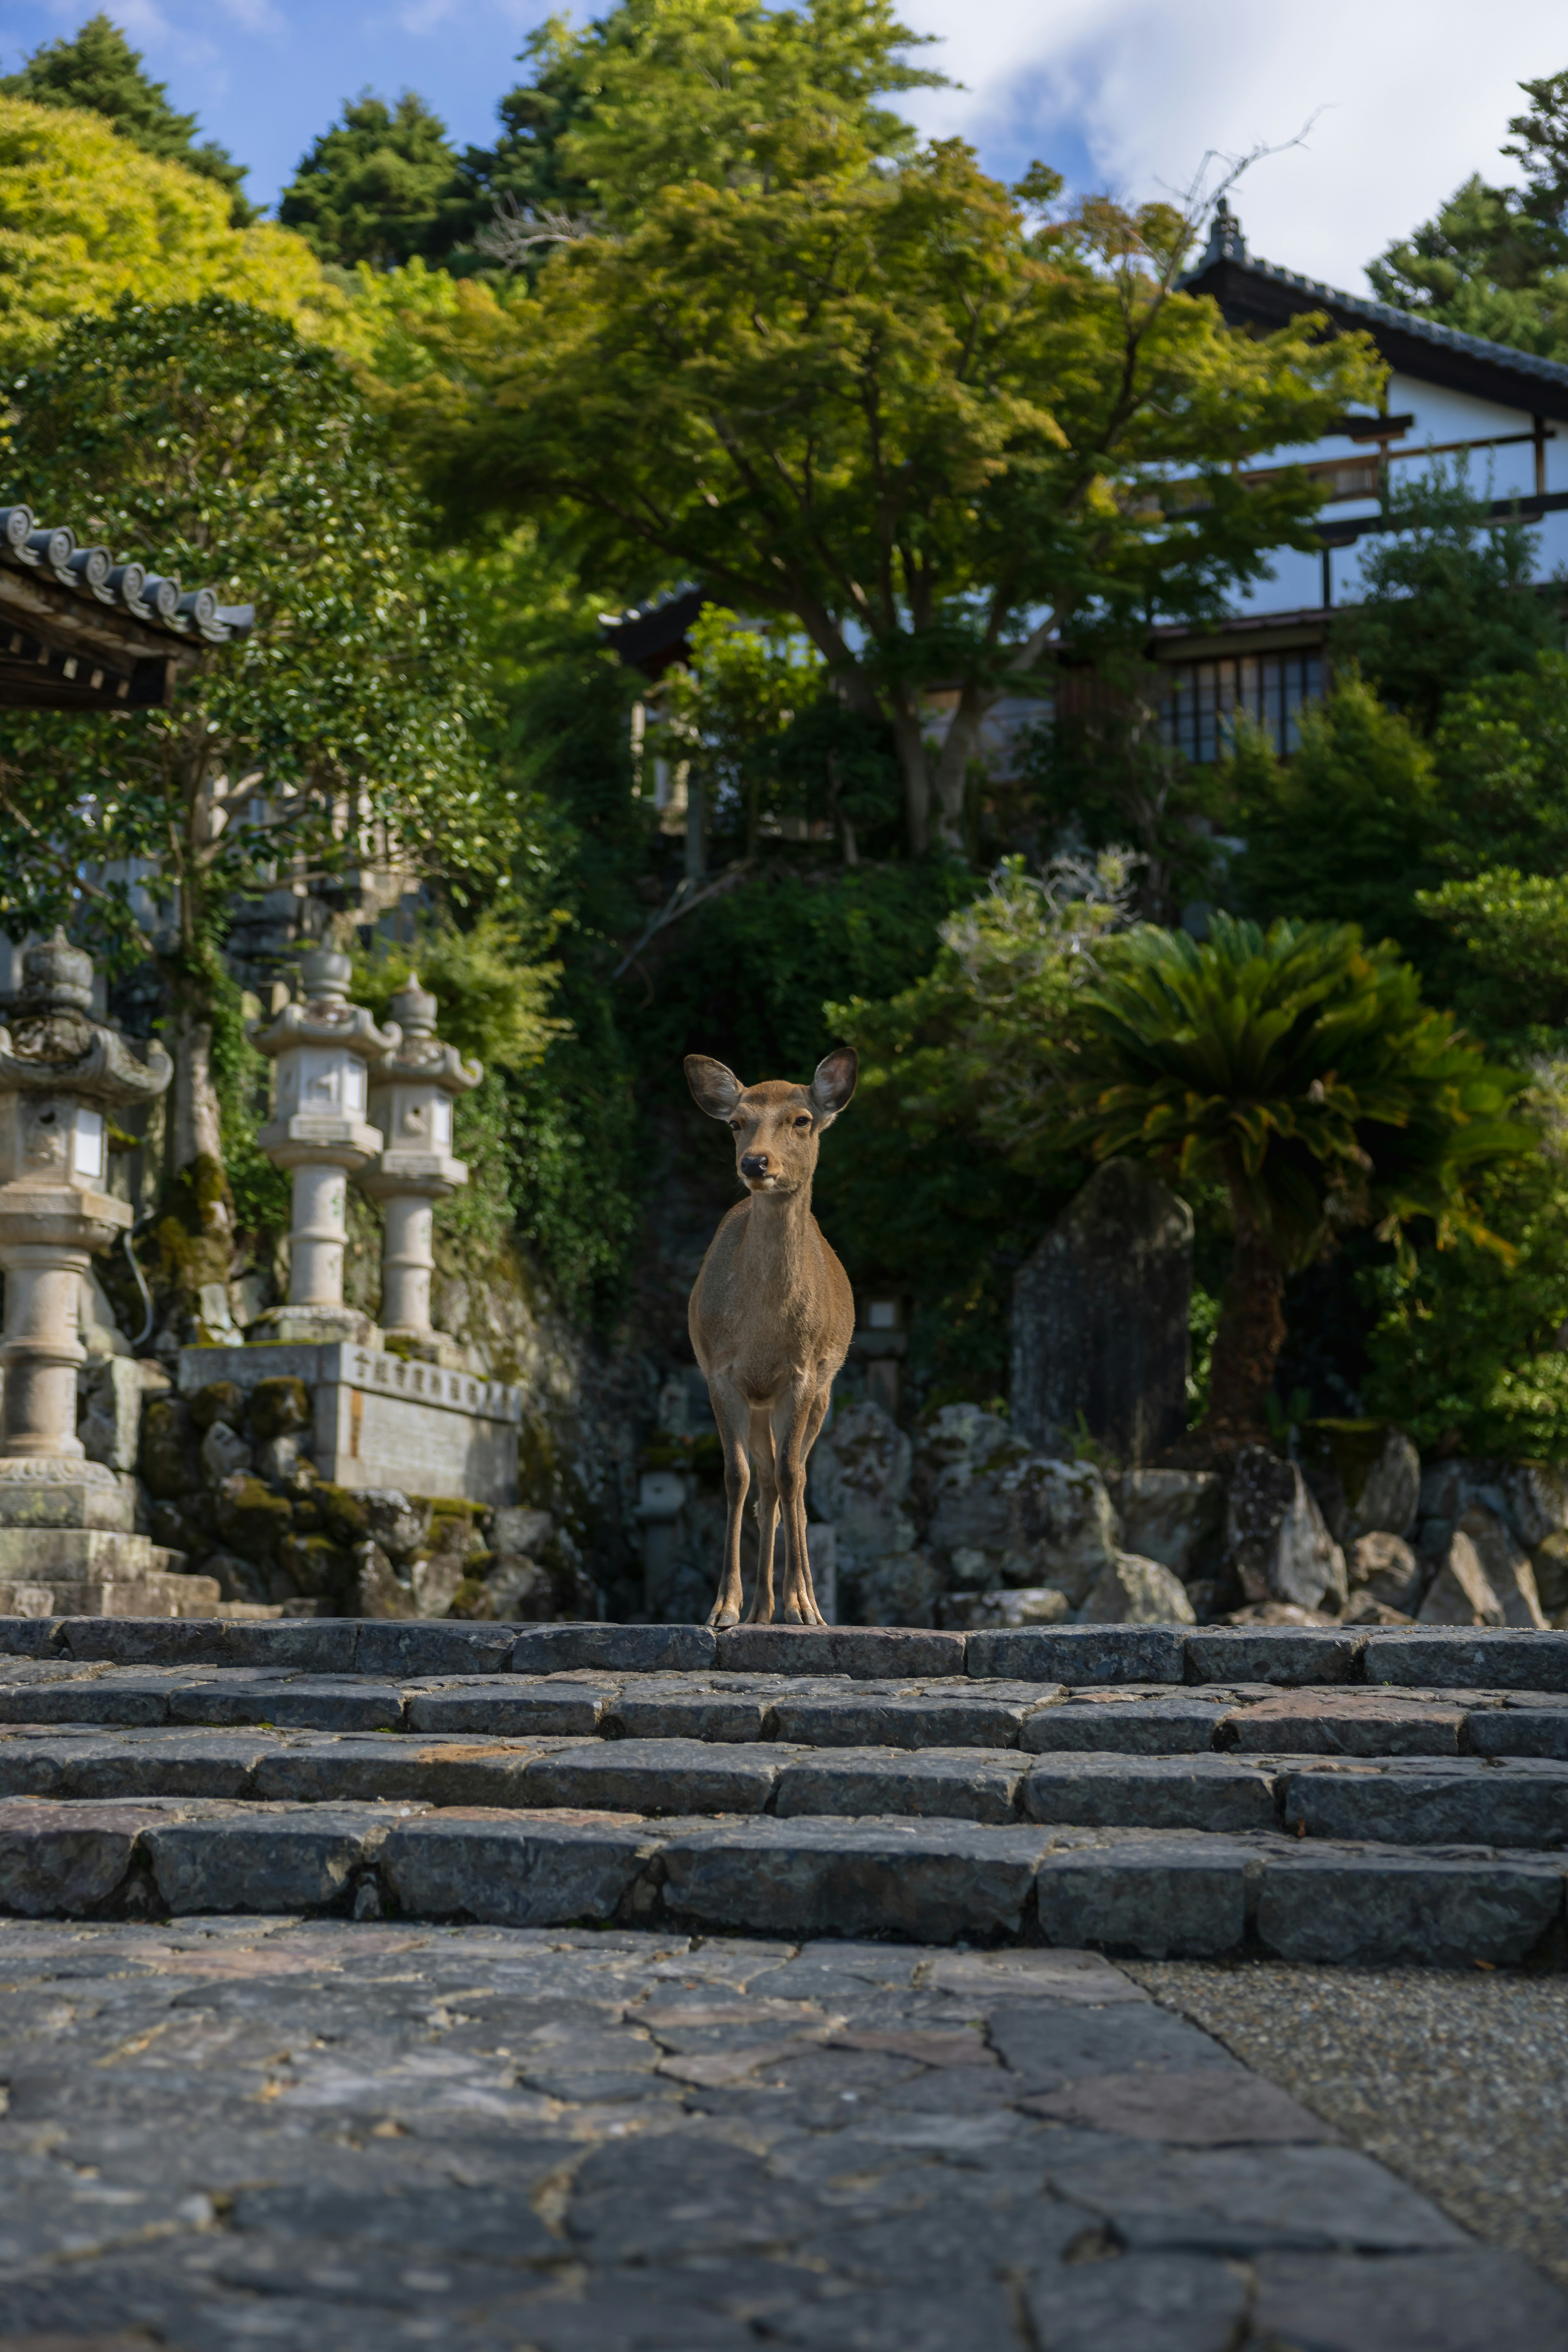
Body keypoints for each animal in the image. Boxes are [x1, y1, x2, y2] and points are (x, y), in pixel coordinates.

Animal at [684, 1048, 858, 1627]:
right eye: (736, 1123)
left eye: (801, 1120)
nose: (755, 1164)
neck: (761, 1331)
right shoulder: (719, 1373)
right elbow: (735, 1477)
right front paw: (723, 1607)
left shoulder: (801, 1377)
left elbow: (790, 1477)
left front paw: (803, 1607)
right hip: (760, 1406)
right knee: (764, 1487)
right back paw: (761, 1608)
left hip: (822, 1394)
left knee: (795, 1478)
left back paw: (798, 1604)